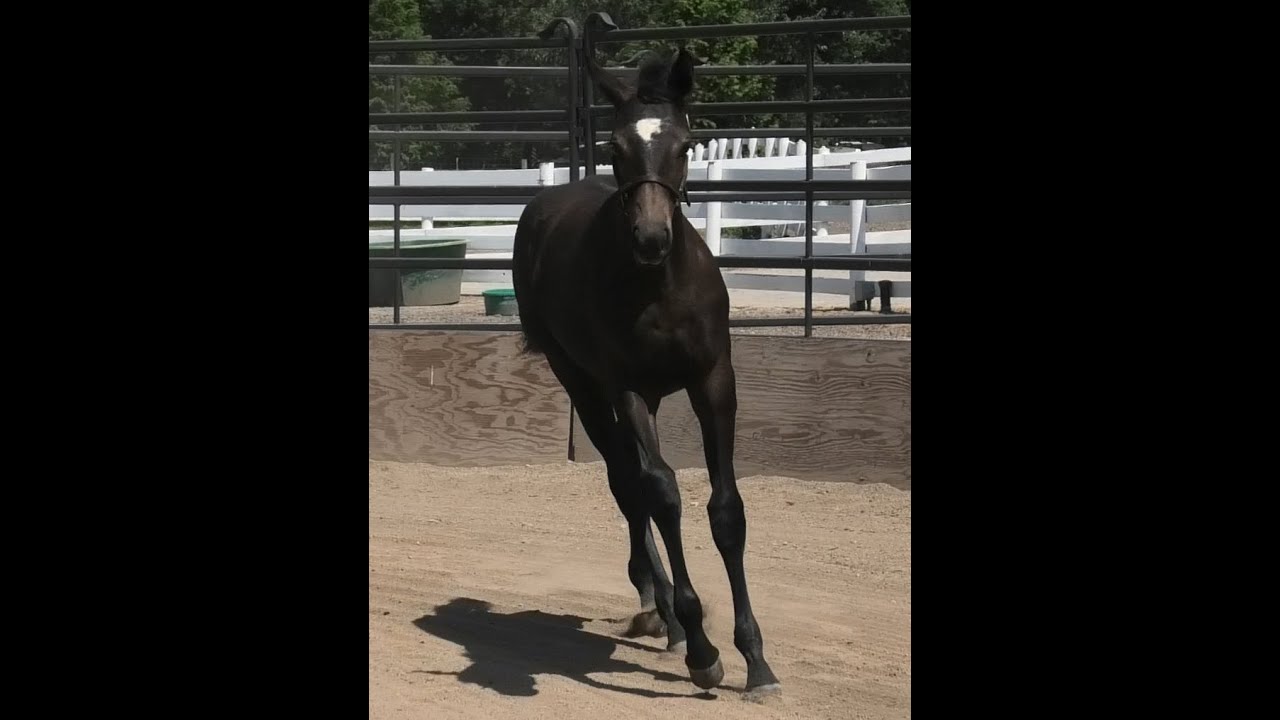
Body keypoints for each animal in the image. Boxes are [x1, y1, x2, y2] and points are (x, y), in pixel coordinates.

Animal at [510, 49, 780, 700]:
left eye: (685, 144)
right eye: (617, 144)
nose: (652, 237)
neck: (660, 287)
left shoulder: (714, 382)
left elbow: (726, 510)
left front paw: (756, 660)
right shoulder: (626, 388)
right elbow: (661, 493)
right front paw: (704, 650)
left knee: (633, 482)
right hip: (580, 382)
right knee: (626, 483)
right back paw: (663, 611)